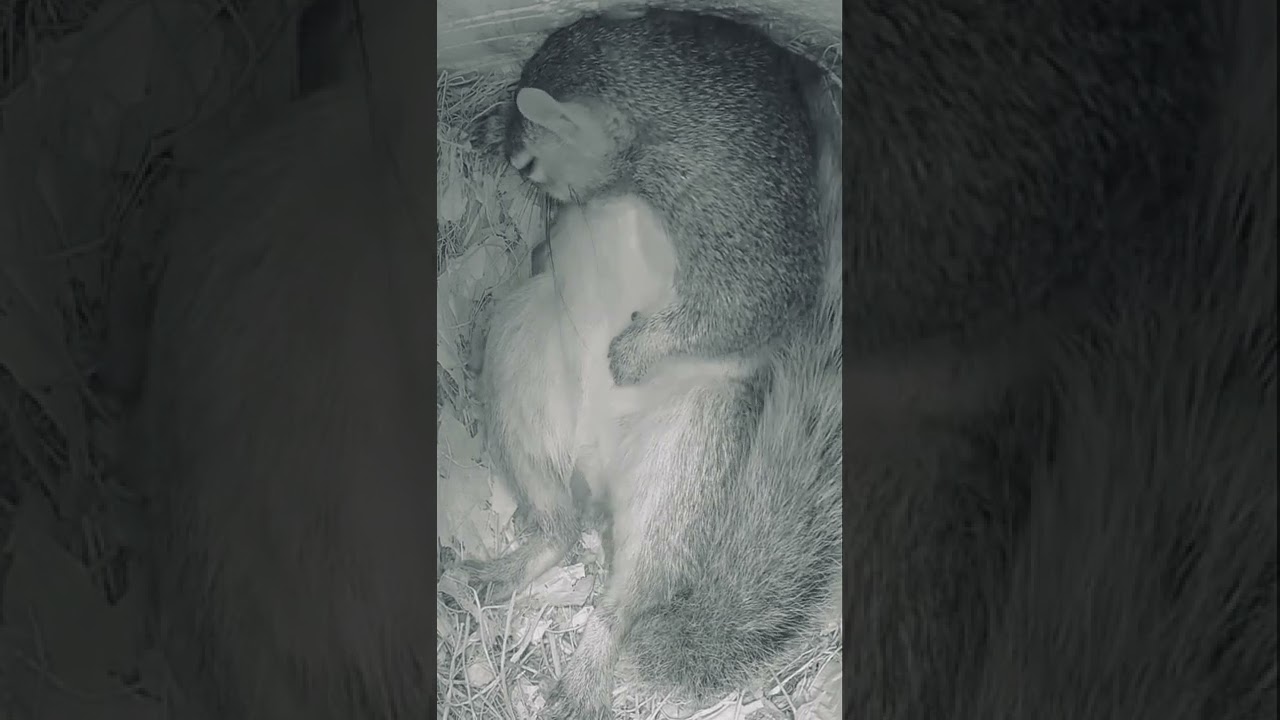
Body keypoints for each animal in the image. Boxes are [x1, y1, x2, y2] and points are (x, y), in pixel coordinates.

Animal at [475, 8, 828, 387]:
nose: (511, 161)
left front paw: (637, 349)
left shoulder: (721, 211)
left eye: (528, 166)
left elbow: (740, 307)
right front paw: (494, 126)